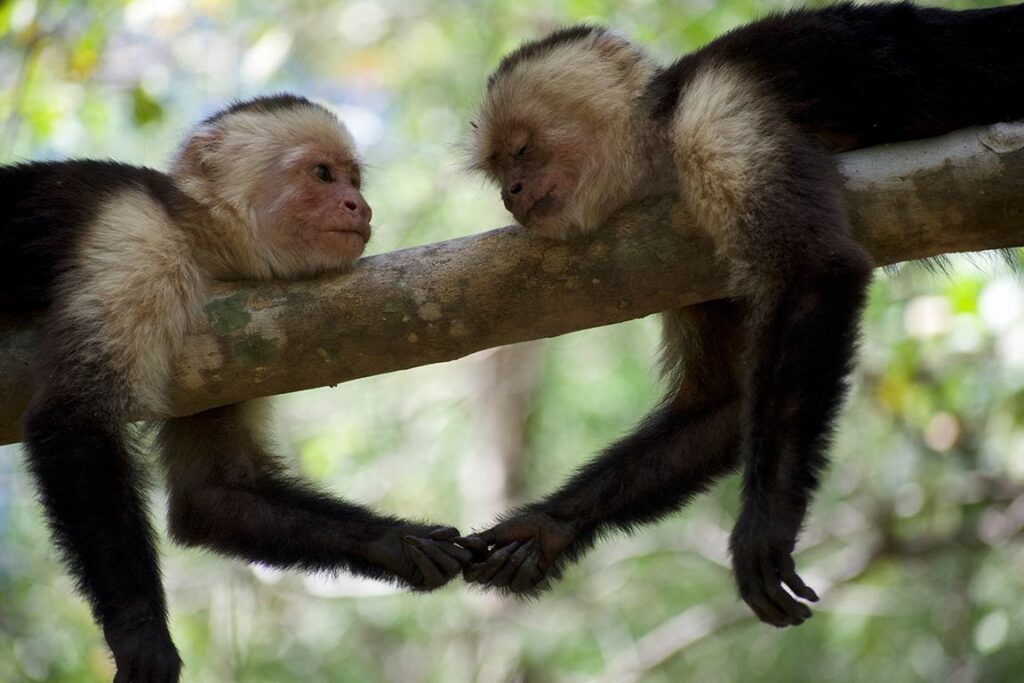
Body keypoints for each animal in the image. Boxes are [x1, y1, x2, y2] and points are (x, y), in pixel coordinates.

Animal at [2, 94, 472, 682]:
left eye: (354, 179)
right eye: (323, 174)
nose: (359, 206)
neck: (199, 241)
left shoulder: (229, 336)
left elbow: (212, 494)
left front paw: (396, 542)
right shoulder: (137, 241)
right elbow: (72, 416)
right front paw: (141, 635)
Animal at [459, 3, 1024, 627]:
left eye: (522, 151)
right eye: (498, 169)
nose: (510, 193)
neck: (658, 147)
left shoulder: (713, 116)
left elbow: (812, 272)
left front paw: (765, 523)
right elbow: (726, 402)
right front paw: (550, 526)